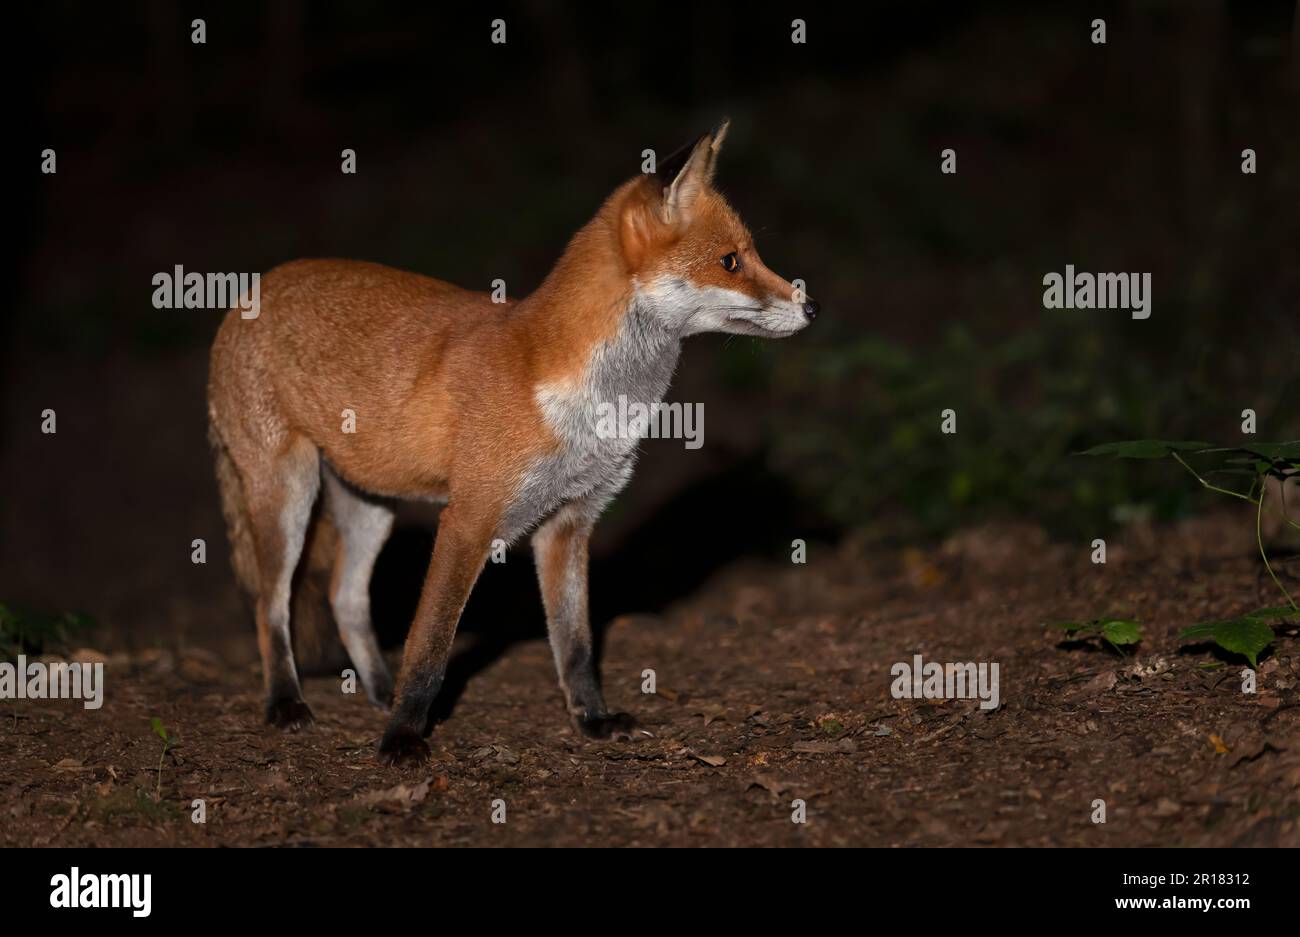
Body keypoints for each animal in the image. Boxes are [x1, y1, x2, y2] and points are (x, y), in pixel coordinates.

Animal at [207, 120, 818, 764]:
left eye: (751, 254)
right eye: (730, 261)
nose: (812, 306)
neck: (591, 403)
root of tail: (254, 288)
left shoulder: (570, 521)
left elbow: (575, 645)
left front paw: (592, 720)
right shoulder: (469, 519)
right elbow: (430, 646)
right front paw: (403, 737)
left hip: (371, 503)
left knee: (344, 597)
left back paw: (375, 688)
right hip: (287, 495)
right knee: (270, 605)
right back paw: (287, 703)